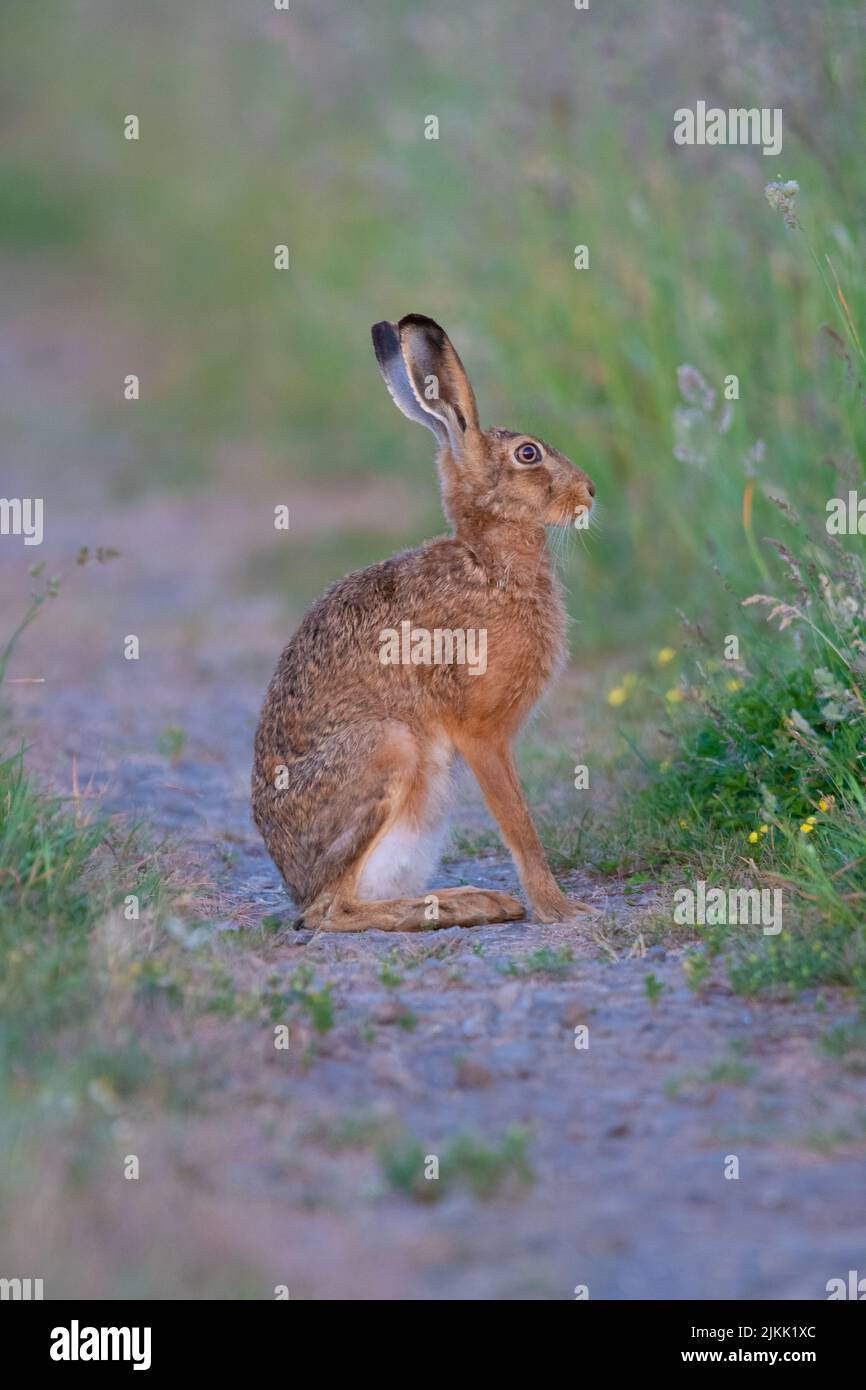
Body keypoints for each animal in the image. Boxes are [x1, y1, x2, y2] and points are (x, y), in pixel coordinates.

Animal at [252, 314, 596, 932]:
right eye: (528, 454)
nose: (590, 492)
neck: (488, 561)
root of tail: (295, 884)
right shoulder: (482, 732)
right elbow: (519, 825)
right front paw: (560, 909)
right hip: (389, 749)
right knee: (331, 911)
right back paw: (469, 905)